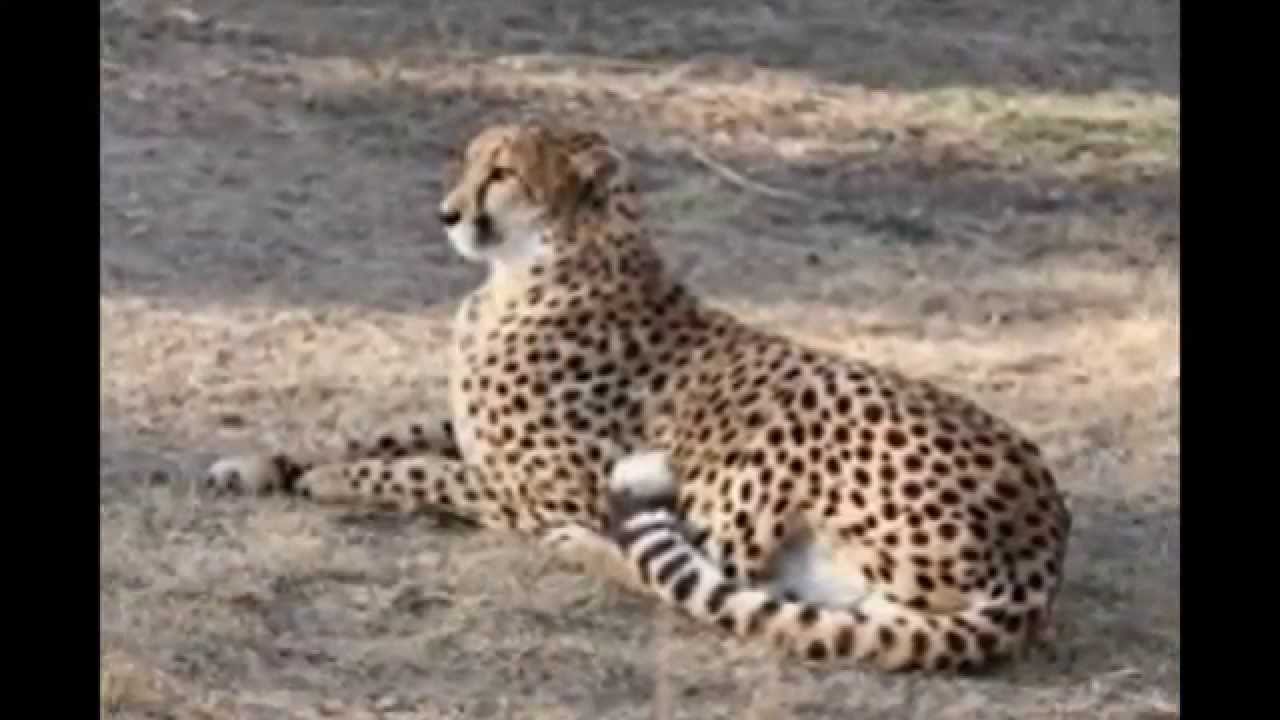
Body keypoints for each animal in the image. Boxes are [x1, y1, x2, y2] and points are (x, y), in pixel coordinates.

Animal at [205, 120, 1072, 673]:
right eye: (468, 161)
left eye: (503, 173)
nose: (446, 213)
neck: (537, 267)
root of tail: (1043, 543)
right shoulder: (473, 440)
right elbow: (383, 435)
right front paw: (258, 464)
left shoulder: (544, 487)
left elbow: (414, 470)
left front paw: (327, 481)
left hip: (785, 422)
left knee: (697, 576)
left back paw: (581, 546)